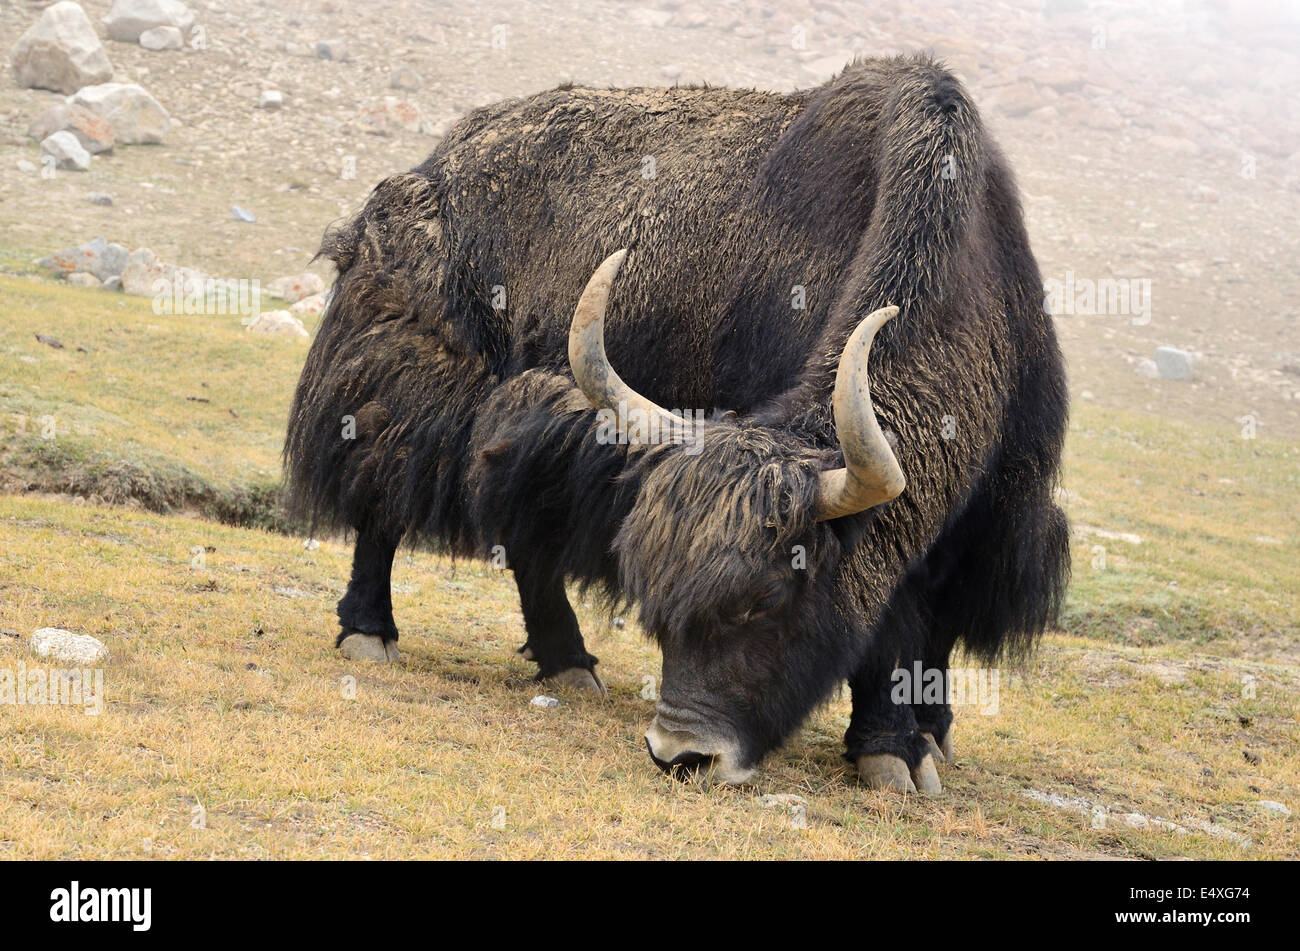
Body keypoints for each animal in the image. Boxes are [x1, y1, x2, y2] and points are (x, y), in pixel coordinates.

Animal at [284, 54, 1070, 793]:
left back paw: (569, 665)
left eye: (766, 601)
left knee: (526, 537)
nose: (680, 755)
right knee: (384, 494)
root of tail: (432, 167)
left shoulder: (984, 522)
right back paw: (369, 632)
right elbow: (891, 620)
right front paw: (890, 751)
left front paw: (927, 735)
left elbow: (930, 625)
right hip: (413, 380)